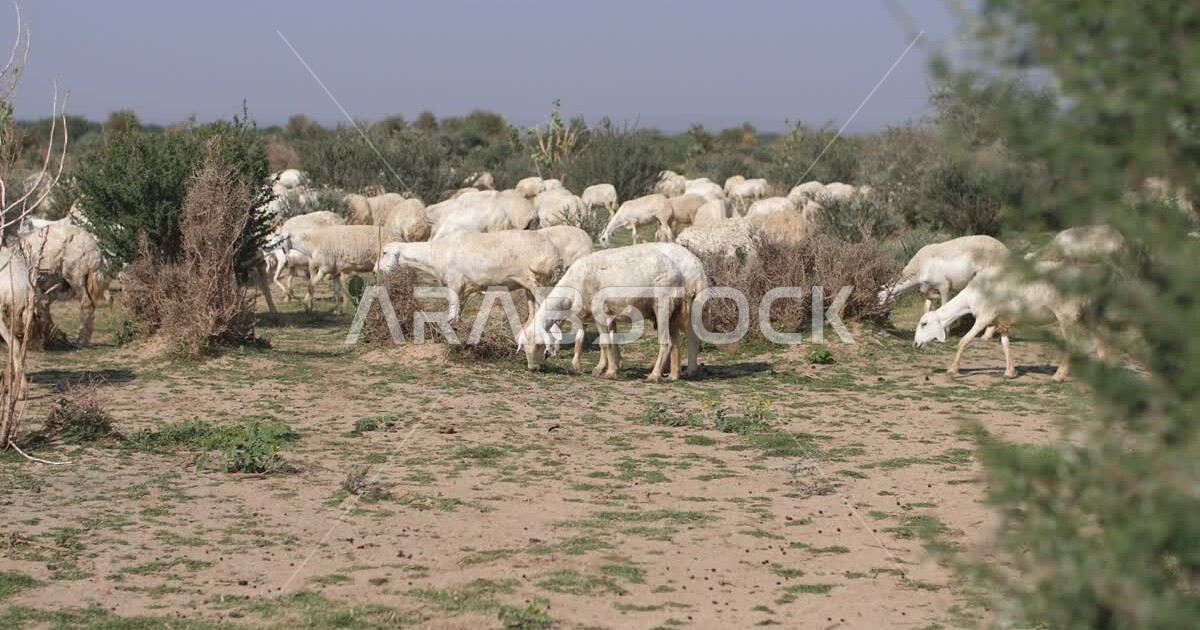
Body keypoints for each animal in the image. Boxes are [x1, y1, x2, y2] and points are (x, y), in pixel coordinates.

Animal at [376, 230, 562, 321]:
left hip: (539, 282)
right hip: (531, 285)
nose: (377, 270)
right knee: (534, 311)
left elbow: (452, 311)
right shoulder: (464, 289)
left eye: (384, 252)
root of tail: (555, 256)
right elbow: (458, 311)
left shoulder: (454, 283)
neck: (436, 253)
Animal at [520, 244, 700, 381]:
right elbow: (584, 340)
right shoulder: (596, 314)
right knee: (676, 340)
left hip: (663, 304)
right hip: (675, 310)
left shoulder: (599, 312)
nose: (533, 368)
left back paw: (657, 375)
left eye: (539, 344)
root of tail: (676, 273)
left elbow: (605, 343)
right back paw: (674, 374)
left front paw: (610, 372)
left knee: (672, 340)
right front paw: (578, 367)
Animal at [878, 235, 1010, 314]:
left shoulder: (944, 286)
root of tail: (1006, 251)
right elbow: (927, 307)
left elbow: (943, 305)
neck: (920, 265)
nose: (877, 314)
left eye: (880, 297)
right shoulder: (928, 288)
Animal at [913, 262, 1097, 381]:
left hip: (1067, 315)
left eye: (924, 324)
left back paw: (1059, 376)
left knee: (1074, 344)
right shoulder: (1001, 322)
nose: (915, 344)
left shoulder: (984, 318)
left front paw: (952, 369)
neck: (971, 296)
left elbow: (964, 341)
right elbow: (1005, 345)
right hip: (1085, 316)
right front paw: (1010, 372)